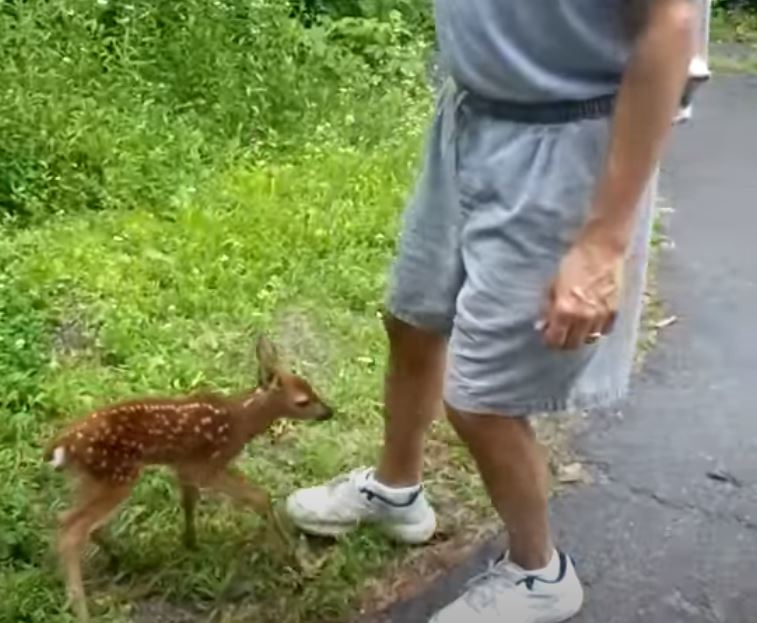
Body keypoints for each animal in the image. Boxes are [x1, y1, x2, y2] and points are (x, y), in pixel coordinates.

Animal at [43, 335, 333, 623]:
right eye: (302, 401)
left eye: (312, 388)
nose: (328, 412)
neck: (240, 421)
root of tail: (62, 446)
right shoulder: (206, 465)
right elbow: (259, 496)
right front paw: (295, 560)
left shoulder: (184, 467)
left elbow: (189, 501)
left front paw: (190, 542)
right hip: (117, 476)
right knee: (71, 529)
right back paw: (81, 609)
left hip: (90, 478)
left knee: (71, 519)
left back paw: (119, 556)